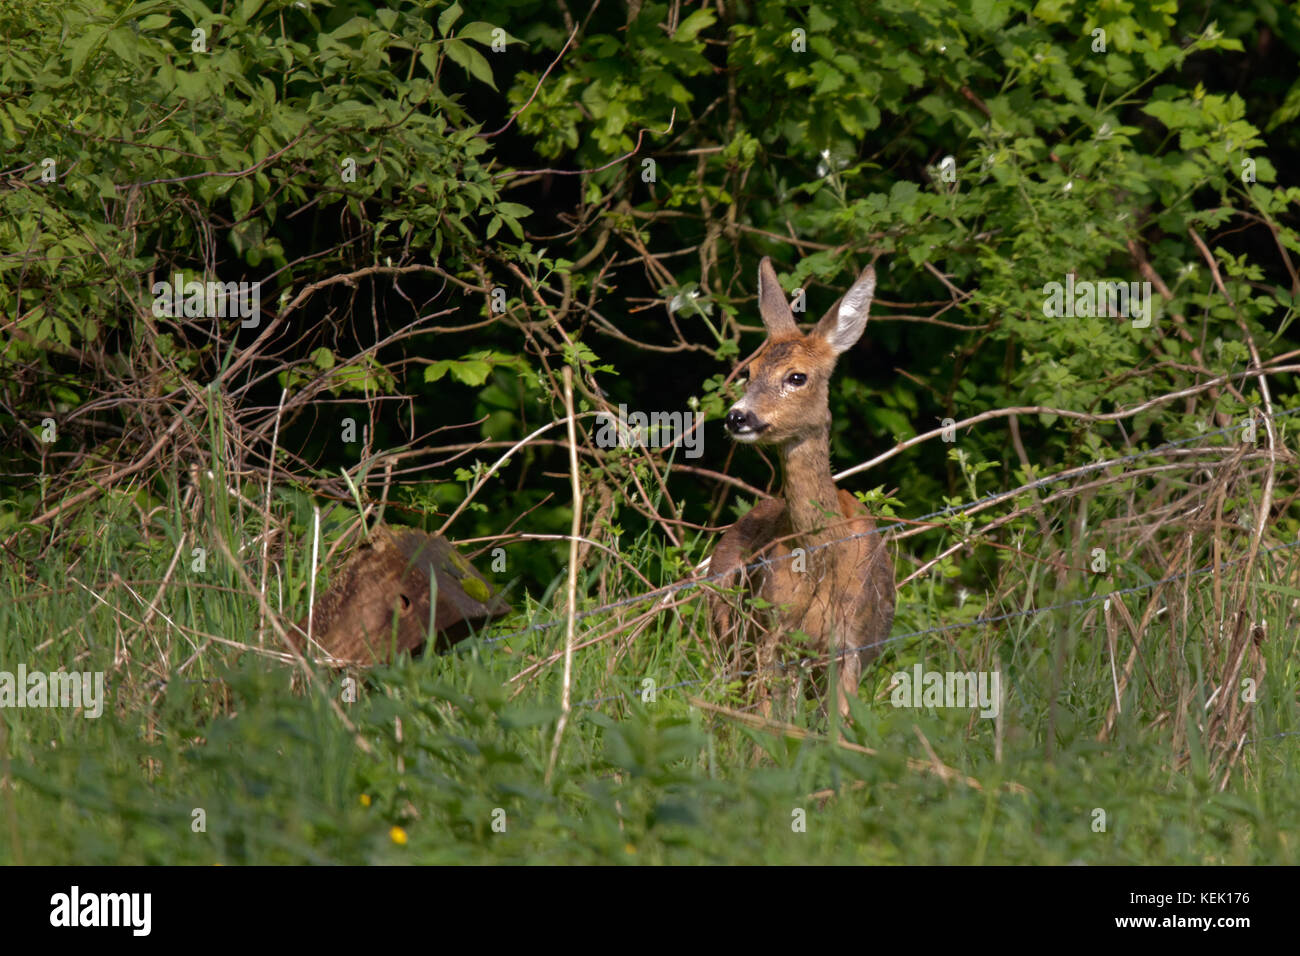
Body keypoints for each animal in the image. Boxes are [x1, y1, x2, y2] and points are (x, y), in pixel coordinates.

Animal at [709, 256, 895, 720]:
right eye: (749, 372)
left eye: (797, 377)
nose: (737, 417)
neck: (822, 557)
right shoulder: (771, 634)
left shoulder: (852, 642)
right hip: (727, 628)